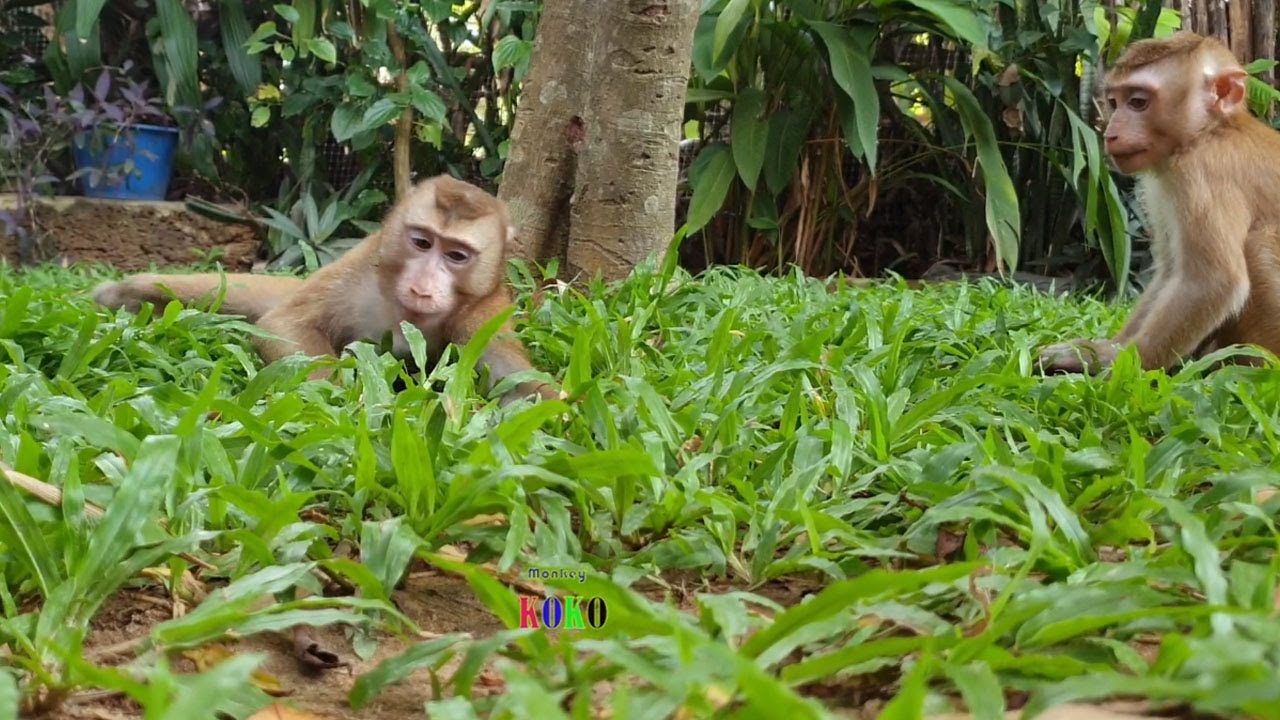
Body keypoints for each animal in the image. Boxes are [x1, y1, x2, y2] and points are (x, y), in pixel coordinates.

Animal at [93, 175, 560, 404]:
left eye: (457, 256)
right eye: (422, 242)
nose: (424, 289)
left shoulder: (484, 312)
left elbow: (517, 383)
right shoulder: (362, 268)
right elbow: (286, 323)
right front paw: (338, 399)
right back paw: (124, 295)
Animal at [1038, 31, 1280, 374]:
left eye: (1138, 103)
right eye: (1115, 103)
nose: (1111, 133)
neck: (1210, 131)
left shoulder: (1200, 173)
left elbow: (1210, 281)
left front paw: (1117, 366)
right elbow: (1170, 271)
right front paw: (1101, 350)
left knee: (1257, 244)